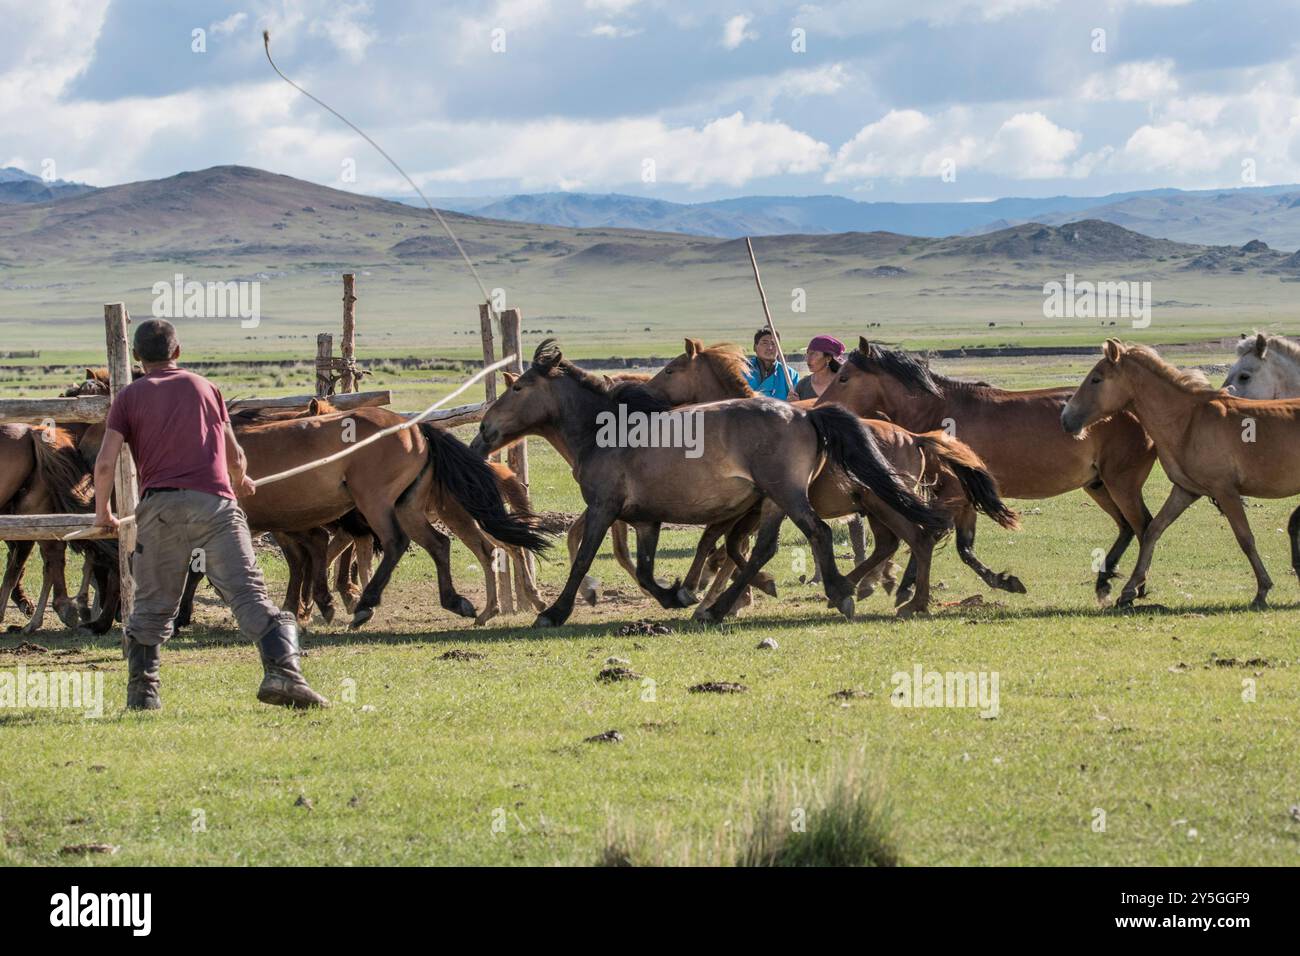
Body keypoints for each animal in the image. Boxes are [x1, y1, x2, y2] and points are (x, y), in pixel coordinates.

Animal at [470, 339, 950, 626]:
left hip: (790, 495)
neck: (605, 431)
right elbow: (646, 570)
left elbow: (585, 557)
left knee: (820, 532)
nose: (483, 432)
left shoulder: (603, 508)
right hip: (773, 503)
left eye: (518, 389)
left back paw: (846, 593)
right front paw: (678, 596)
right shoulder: (645, 520)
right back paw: (720, 607)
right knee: (765, 549)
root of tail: (808, 415)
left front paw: (554, 613)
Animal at [647, 339, 1022, 606]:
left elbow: (722, 543)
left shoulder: (755, 507)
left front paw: (718, 592)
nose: (646, 394)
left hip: (880, 502)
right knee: (892, 542)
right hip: (876, 505)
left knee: (911, 537)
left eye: (670, 370)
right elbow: (724, 543)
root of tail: (913, 437)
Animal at [815, 337, 1157, 603]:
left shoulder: (954, 491)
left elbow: (935, 535)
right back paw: (1106, 582)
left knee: (1143, 526)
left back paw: (1134, 589)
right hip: (1098, 485)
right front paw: (1004, 581)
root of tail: (1137, 410)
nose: (818, 408)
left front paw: (902, 590)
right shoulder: (963, 495)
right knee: (1127, 527)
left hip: (1121, 483)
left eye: (844, 377)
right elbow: (961, 545)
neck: (941, 411)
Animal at [1063, 339, 1300, 610]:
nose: (1066, 418)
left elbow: (1246, 539)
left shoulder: (1225, 491)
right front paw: (1130, 590)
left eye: (1096, 379)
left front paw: (1262, 589)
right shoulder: (1186, 490)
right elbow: (1153, 530)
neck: (1188, 422)